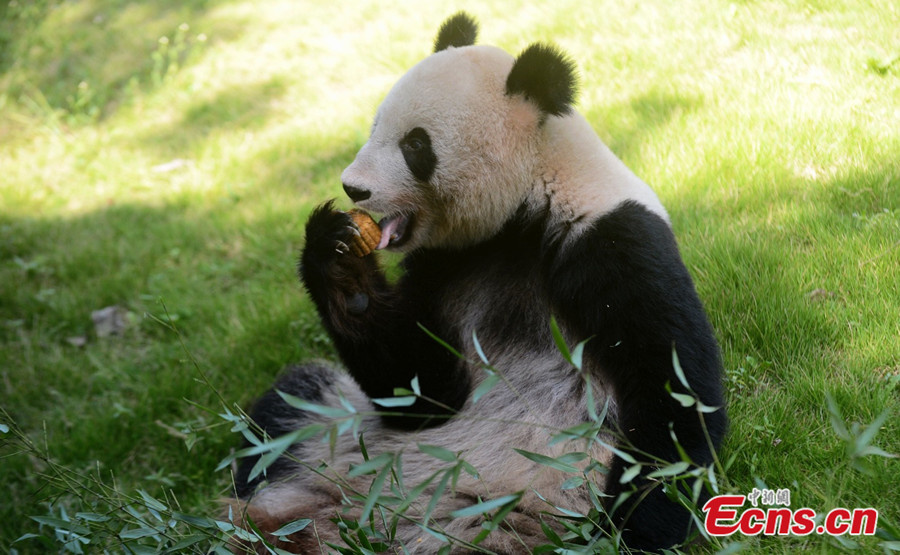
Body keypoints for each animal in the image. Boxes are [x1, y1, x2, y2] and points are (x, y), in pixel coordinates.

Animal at [229, 12, 726, 554]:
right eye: (375, 126)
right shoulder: (449, 263)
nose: (353, 187)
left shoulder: (613, 243)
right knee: (283, 410)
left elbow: (671, 388)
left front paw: (635, 531)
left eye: (415, 145)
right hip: (334, 433)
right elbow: (420, 391)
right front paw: (338, 257)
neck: (529, 205)